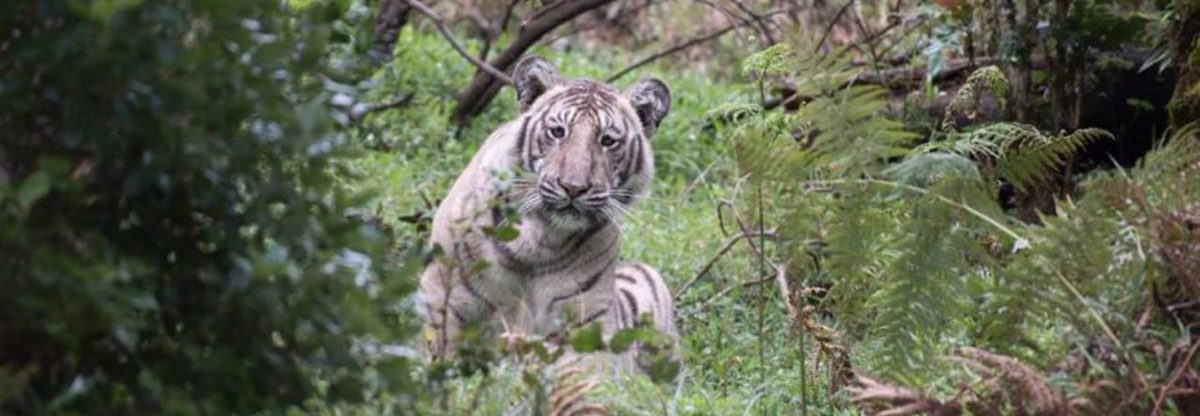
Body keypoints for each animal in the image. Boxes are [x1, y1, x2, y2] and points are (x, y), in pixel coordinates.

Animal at [417, 55, 678, 377]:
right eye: (557, 132)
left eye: (607, 141)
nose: (574, 187)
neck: (540, 236)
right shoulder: (444, 296)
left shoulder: (584, 325)